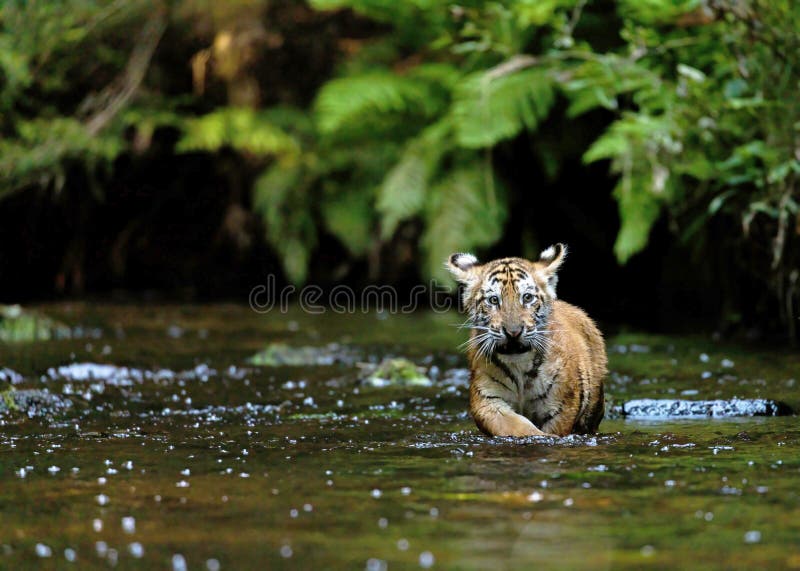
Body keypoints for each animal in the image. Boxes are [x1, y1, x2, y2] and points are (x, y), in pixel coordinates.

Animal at [447, 244, 606, 437]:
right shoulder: (488, 400)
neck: (519, 365)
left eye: (527, 297)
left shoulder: (560, 408)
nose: (513, 332)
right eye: (493, 300)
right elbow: (516, 426)